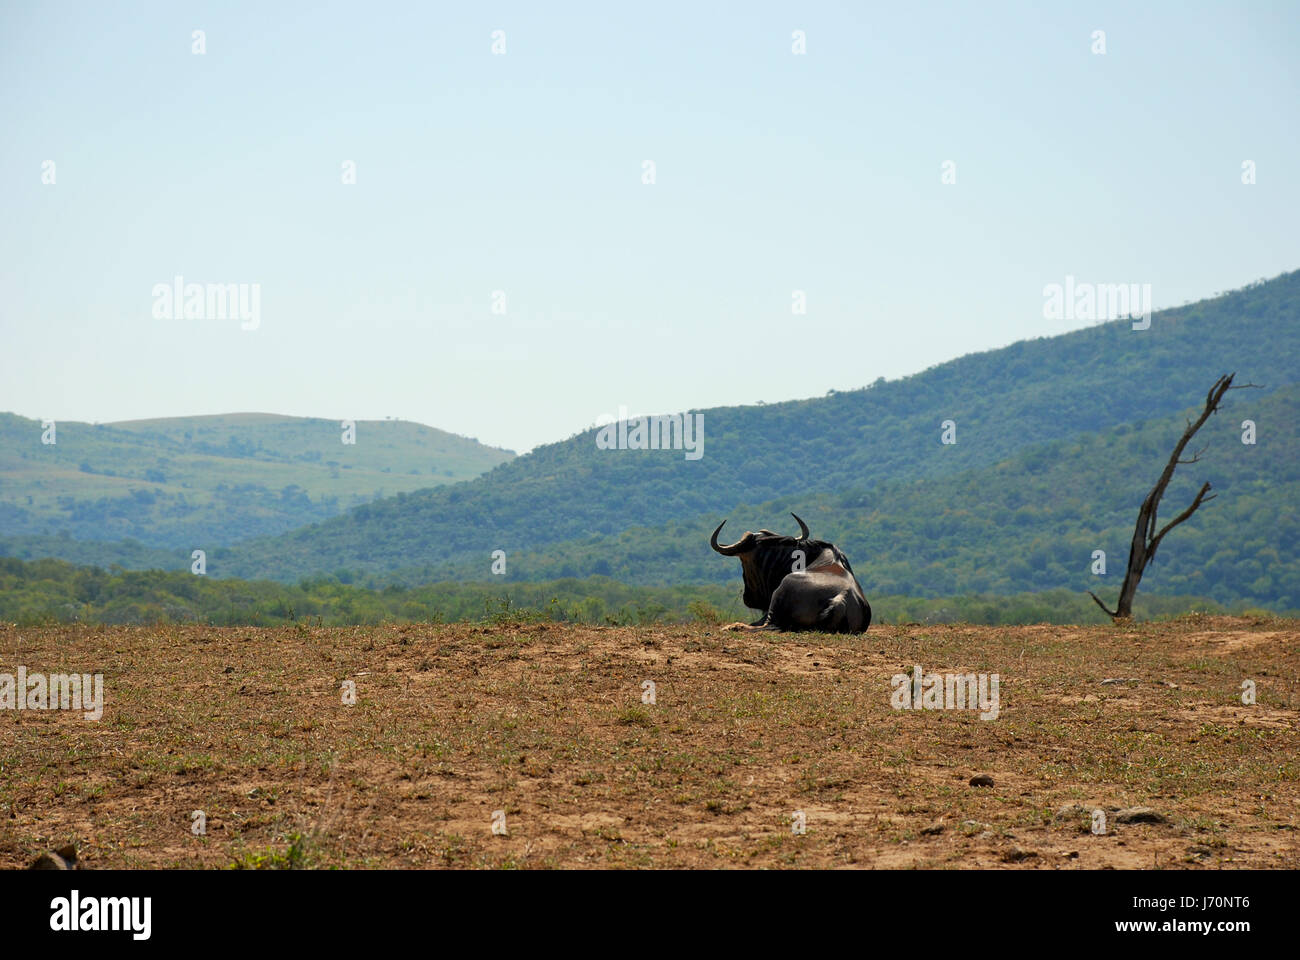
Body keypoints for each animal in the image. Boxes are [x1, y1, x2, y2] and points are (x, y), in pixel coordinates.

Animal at [710, 513, 871, 633]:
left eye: (743, 562)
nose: (748, 598)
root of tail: (840, 598)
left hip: (780, 595)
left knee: (768, 627)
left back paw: (732, 627)